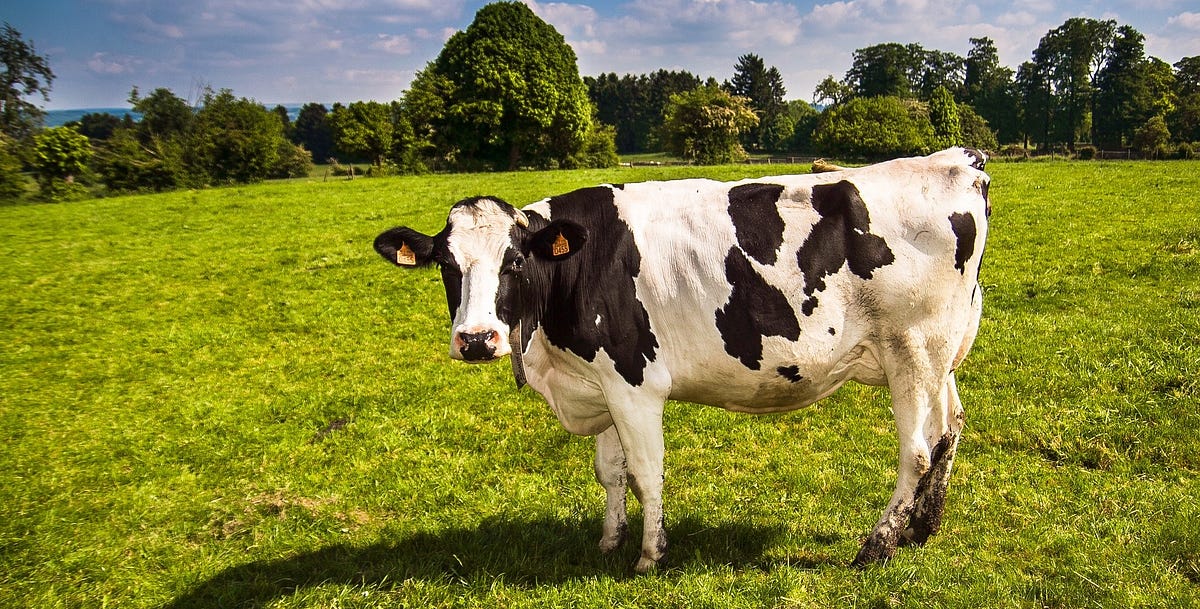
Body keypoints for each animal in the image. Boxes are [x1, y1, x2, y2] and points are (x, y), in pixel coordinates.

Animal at [373, 147, 990, 572]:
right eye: (447, 265)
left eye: (515, 261)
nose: (477, 339)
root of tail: (958, 160)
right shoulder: (600, 381)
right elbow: (610, 471)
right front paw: (609, 540)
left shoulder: (633, 381)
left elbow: (646, 471)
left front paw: (650, 554)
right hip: (938, 354)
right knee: (950, 428)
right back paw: (922, 527)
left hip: (911, 349)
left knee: (916, 449)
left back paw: (878, 544)